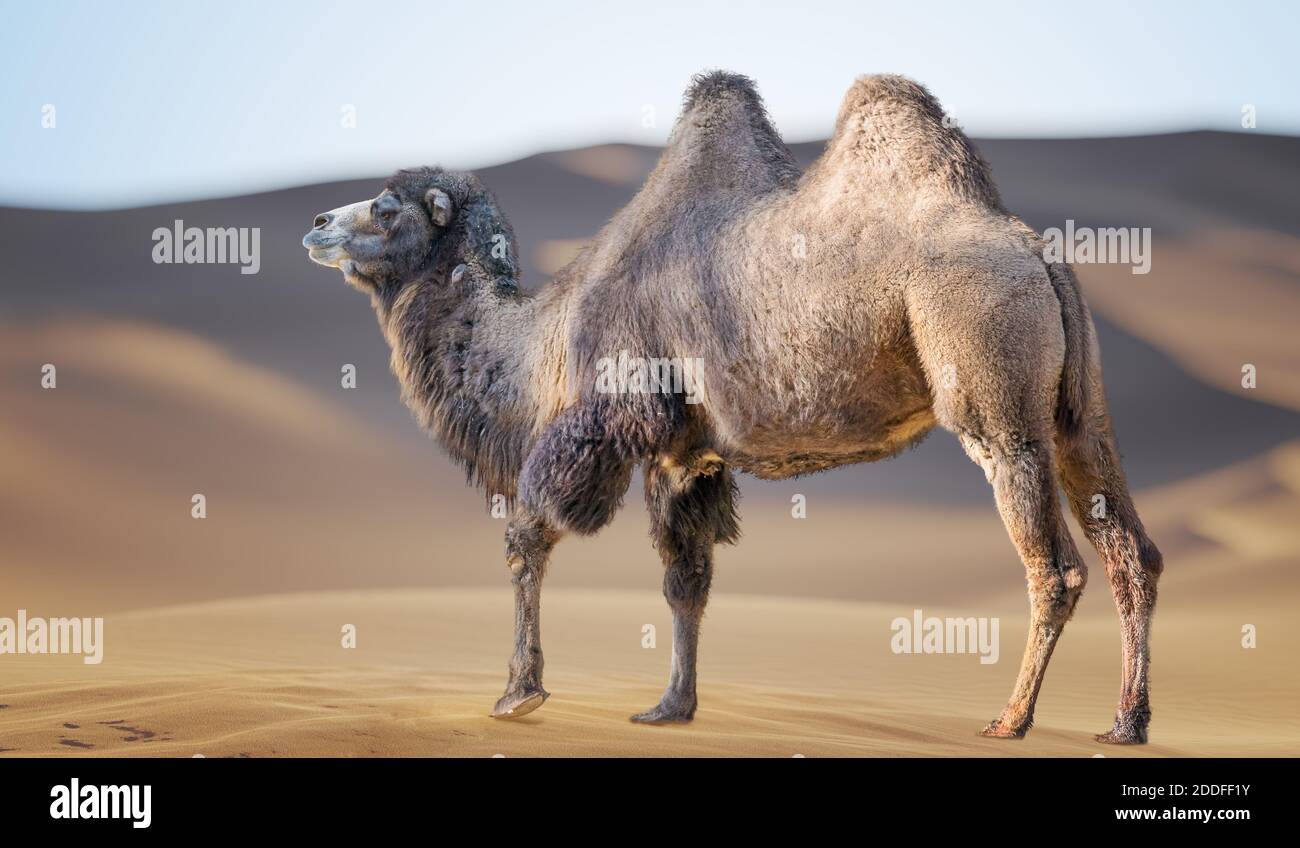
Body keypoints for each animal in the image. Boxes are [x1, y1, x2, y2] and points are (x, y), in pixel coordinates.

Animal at [301, 71, 1163, 743]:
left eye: (386, 205)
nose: (316, 222)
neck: (540, 342)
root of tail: (1037, 253)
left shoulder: (605, 419)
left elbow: (526, 538)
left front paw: (519, 695)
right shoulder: (686, 452)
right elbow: (687, 578)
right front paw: (670, 707)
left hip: (992, 382)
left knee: (1055, 564)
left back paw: (1011, 720)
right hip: (1079, 410)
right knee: (1131, 549)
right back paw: (1125, 722)